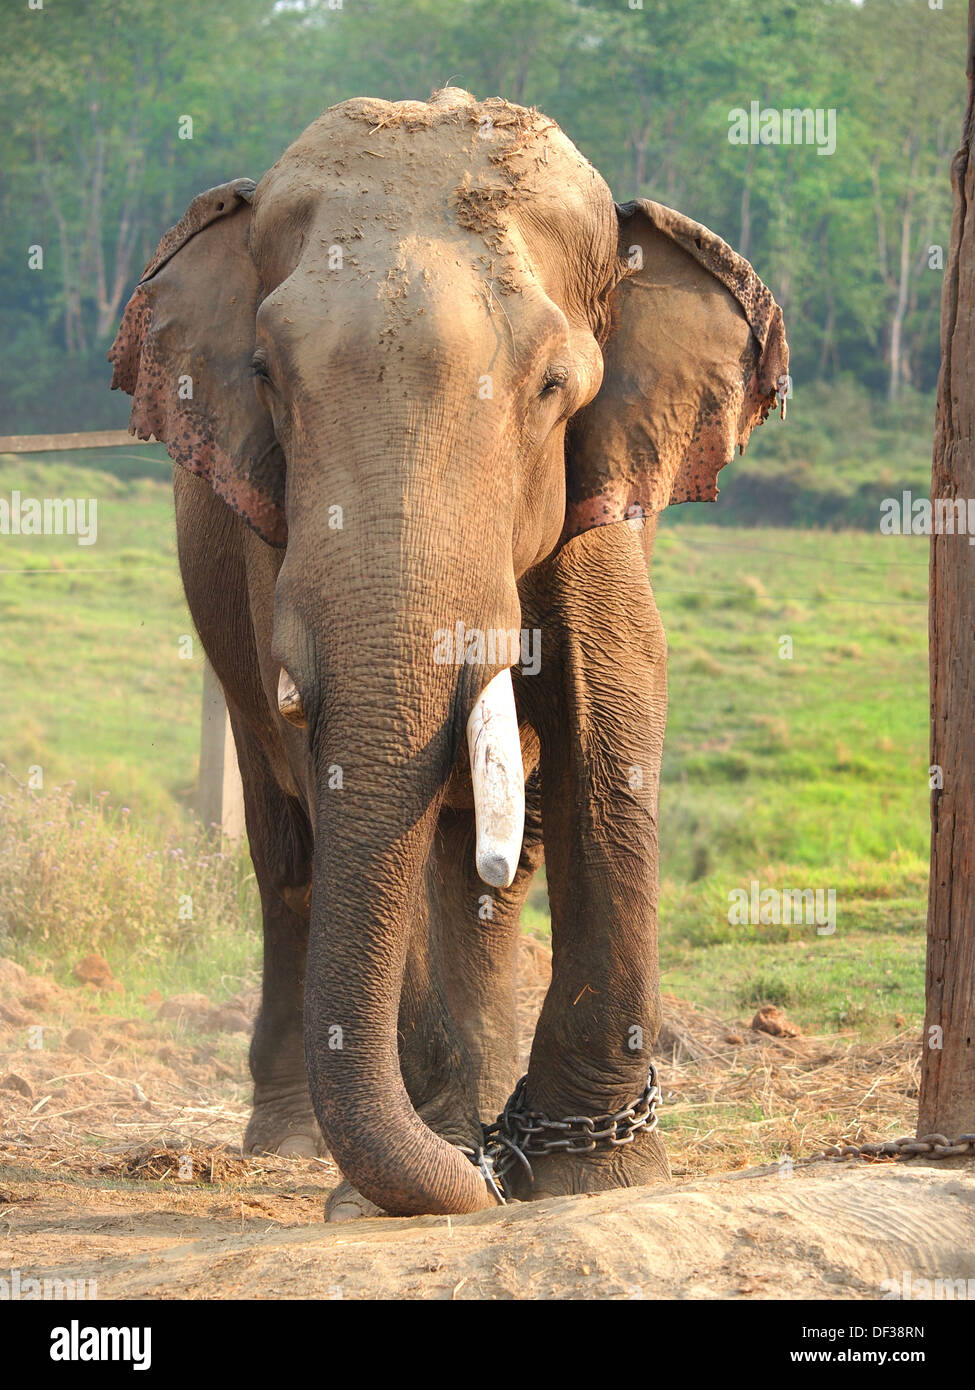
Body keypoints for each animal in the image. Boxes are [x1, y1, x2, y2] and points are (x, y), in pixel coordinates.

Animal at [109, 87, 788, 1219]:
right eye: (264, 374)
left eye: (555, 385)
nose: (487, 1179)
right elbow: (353, 781)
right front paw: (418, 1175)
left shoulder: (600, 488)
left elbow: (616, 711)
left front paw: (590, 1171)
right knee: (288, 843)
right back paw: (301, 1135)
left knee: (500, 849)